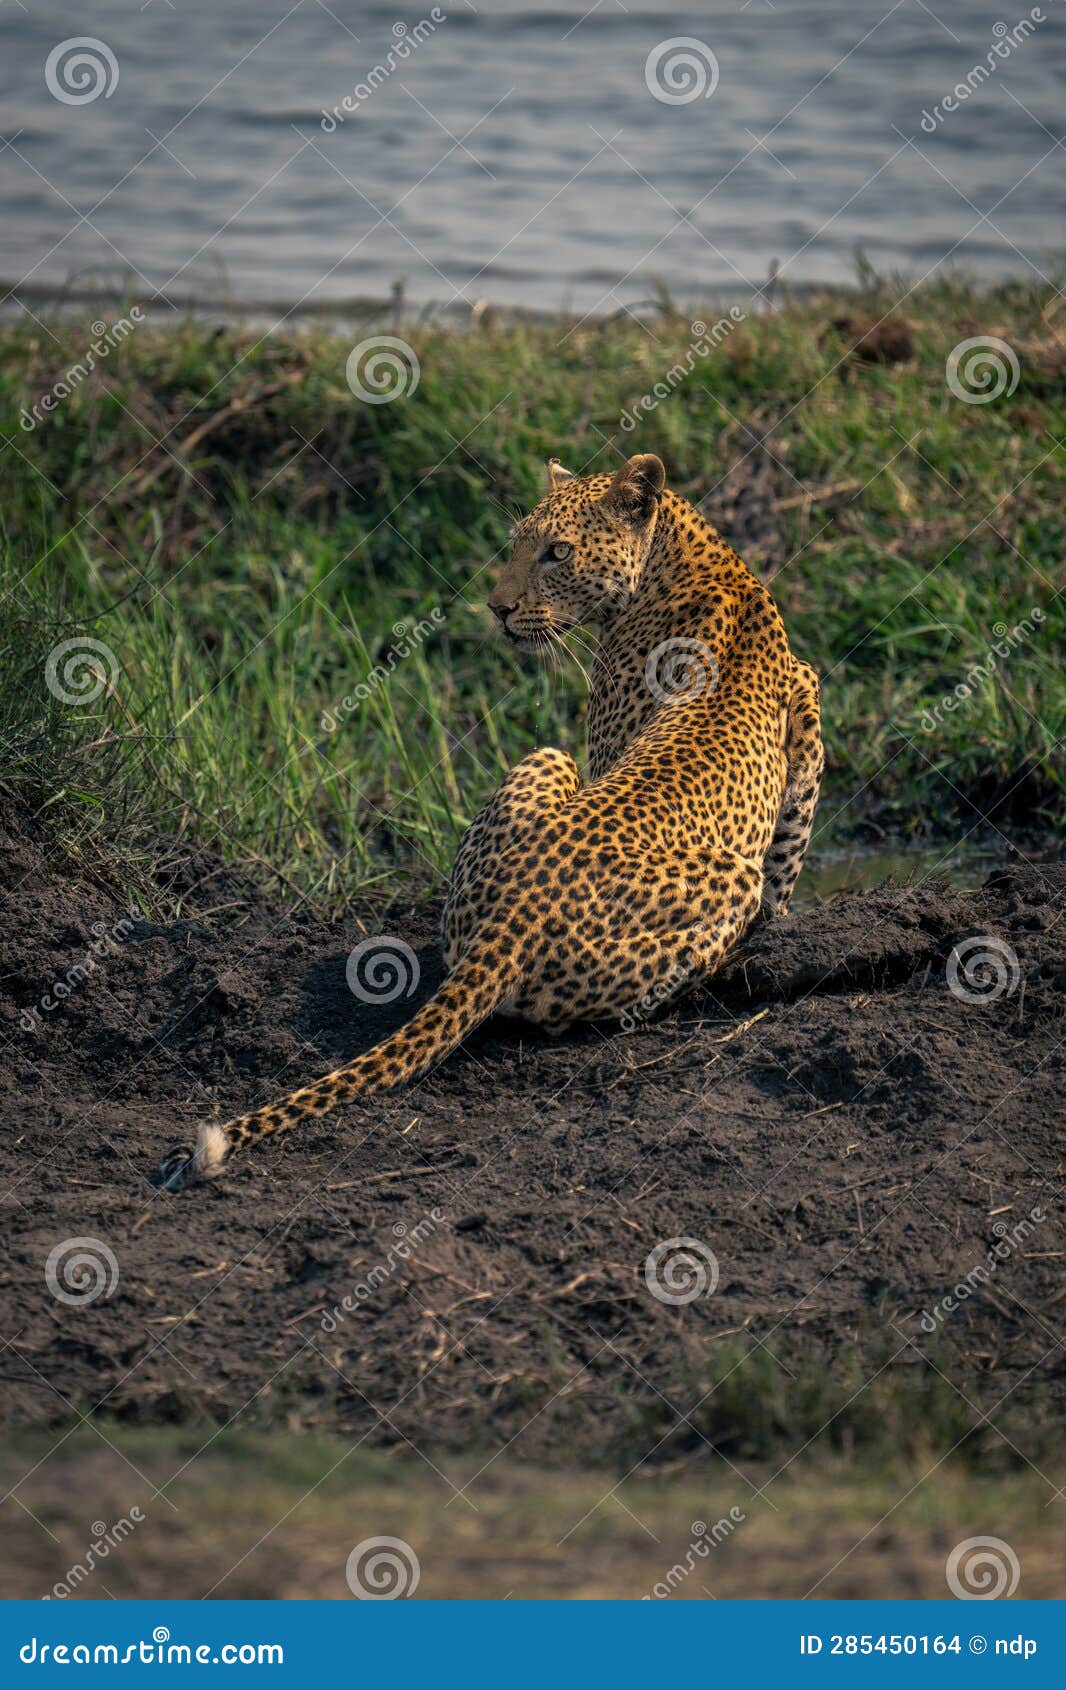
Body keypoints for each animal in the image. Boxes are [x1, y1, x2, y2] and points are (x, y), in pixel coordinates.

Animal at [153, 452, 823, 1190]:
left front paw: (779, 925)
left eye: (557, 552)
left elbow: (790, 846)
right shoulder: (803, 714)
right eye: (516, 545)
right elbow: (791, 843)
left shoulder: (798, 707)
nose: (497, 609)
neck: (686, 553)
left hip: (576, 782)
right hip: (577, 776)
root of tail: (520, 908)